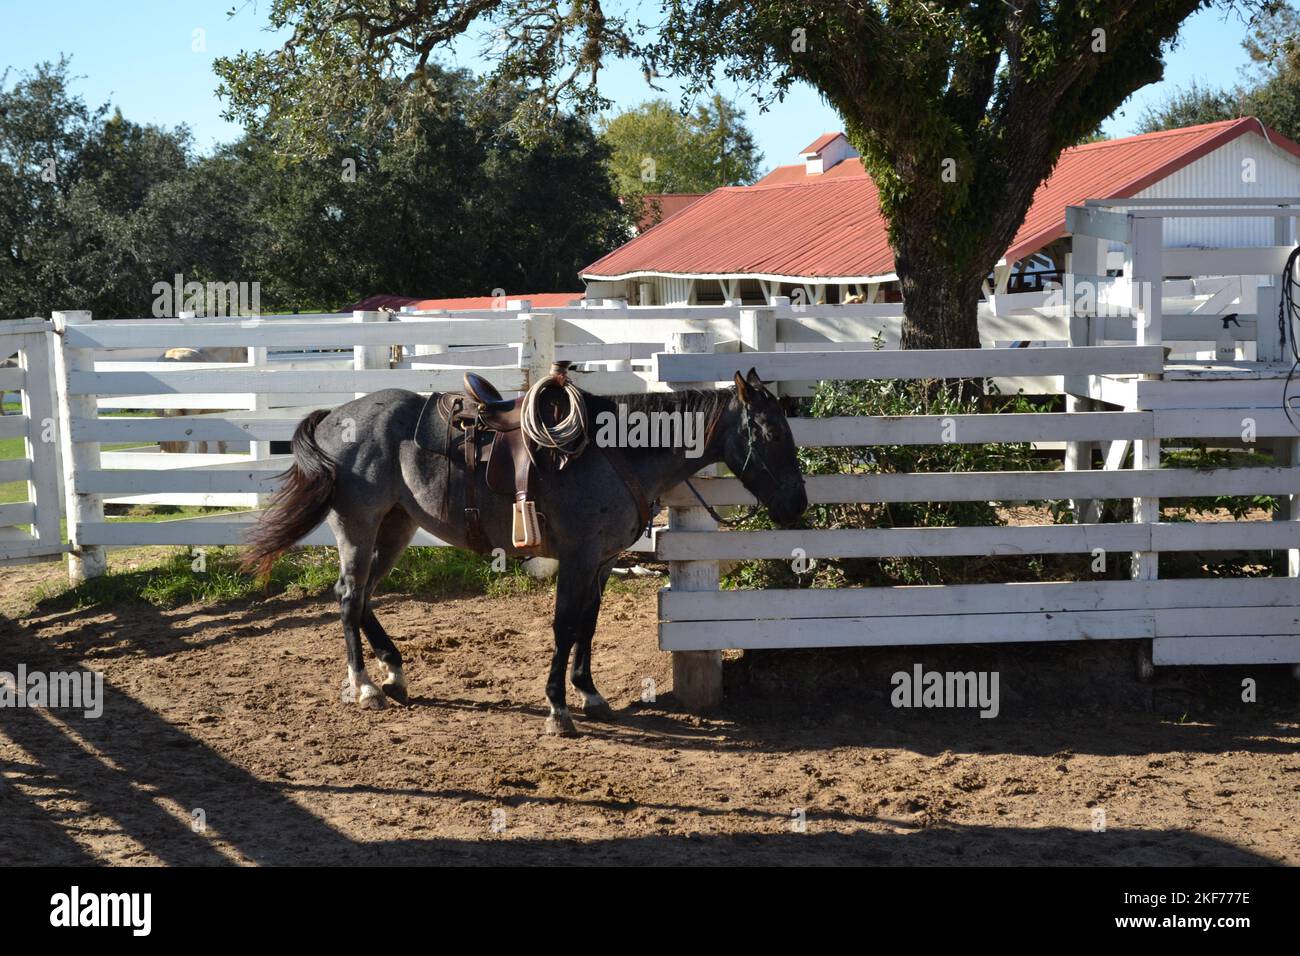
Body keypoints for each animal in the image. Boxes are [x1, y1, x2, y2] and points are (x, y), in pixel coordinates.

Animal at [242, 368, 808, 735]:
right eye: (771, 430)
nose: (797, 505)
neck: (616, 453)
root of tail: (333, 417)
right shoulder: (577, 558)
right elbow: (564, 625)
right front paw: (558, 708)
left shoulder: (601, 562)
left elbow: (587, 625)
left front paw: (590, 694)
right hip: (358, 528)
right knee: (347, 598)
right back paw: (364, 686)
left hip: (396, 527)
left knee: (364, 598)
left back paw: (395, 673)